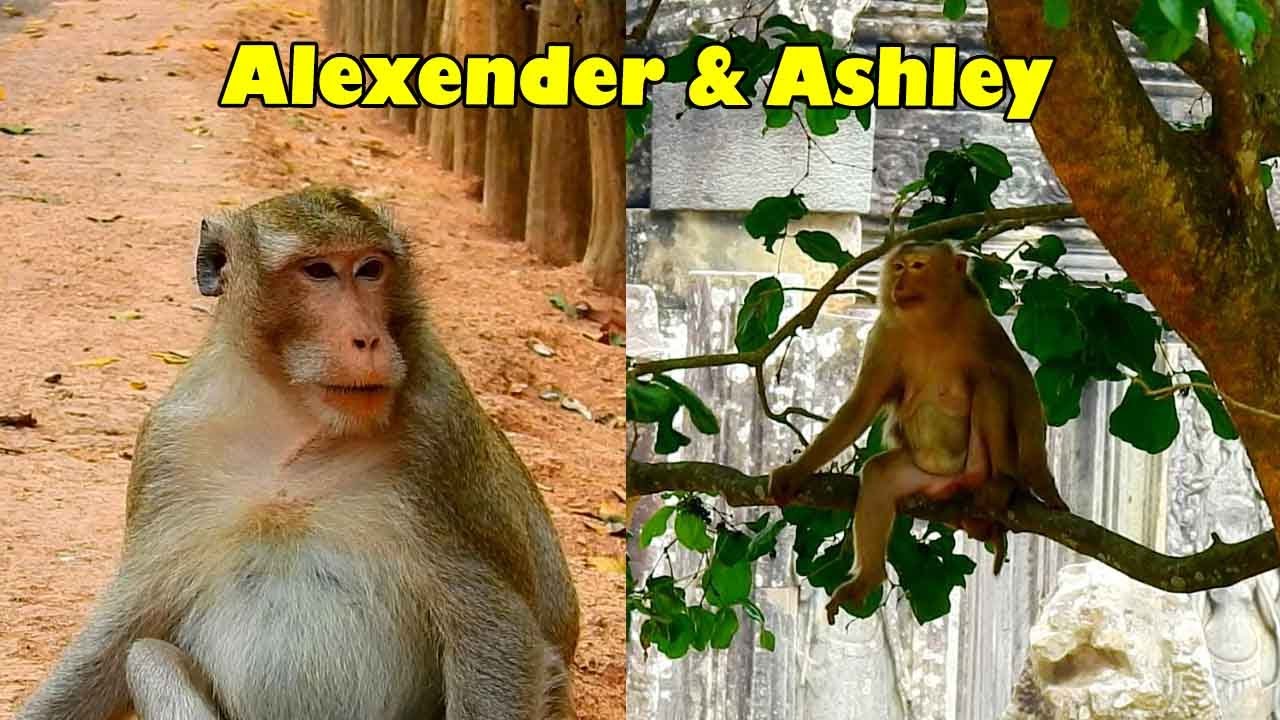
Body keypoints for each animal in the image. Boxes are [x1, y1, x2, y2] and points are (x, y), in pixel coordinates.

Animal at [17, 186, 580, 720]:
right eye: (319, 272)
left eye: (371, 270)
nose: (368, 339)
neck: (295, 424)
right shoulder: (166, 447)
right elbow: (122, 633)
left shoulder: (443, 441)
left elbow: (497, 627)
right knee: (148, 656)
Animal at [769, 241, 1067, 624]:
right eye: (898, 267)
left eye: (918, 266)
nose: (900, 282)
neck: (930, 323)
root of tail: (957, 481)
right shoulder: (884, 334)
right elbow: (862, 404)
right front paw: (796, 471)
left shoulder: (980, 319)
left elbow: (1018, 380)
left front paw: (1042, 482)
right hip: (922, 476)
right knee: (878, 475)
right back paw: (868, 578)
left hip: (977, 460)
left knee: (991, 383)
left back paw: (1002, 482)